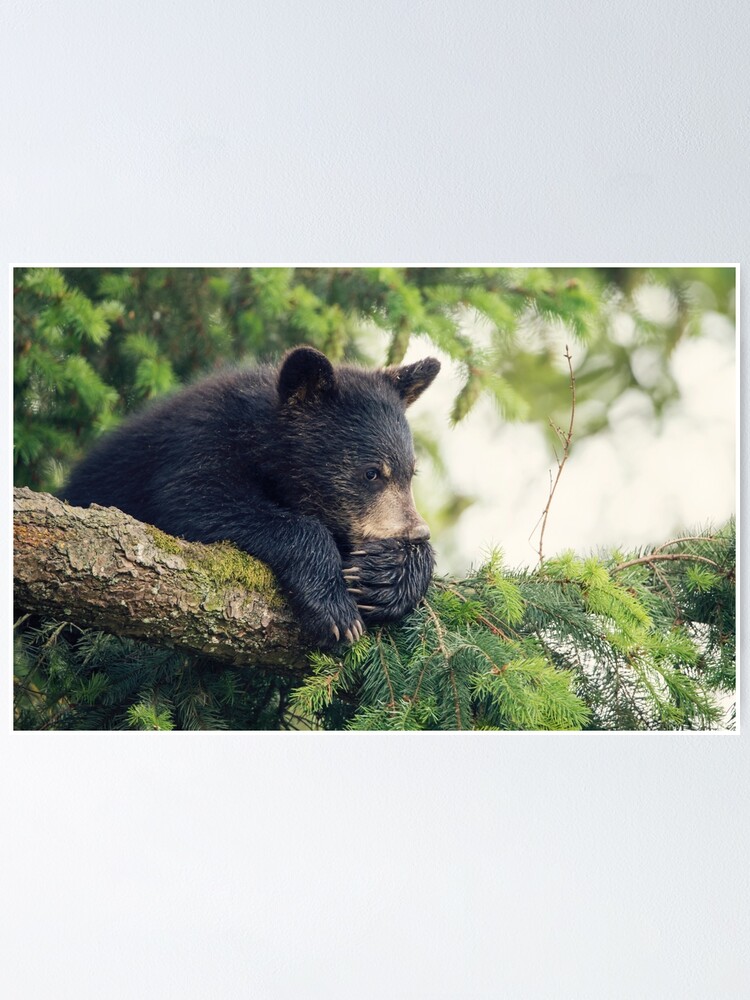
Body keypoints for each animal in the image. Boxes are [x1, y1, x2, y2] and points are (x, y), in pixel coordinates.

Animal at [63, 346, 441, 646]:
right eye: (372, 472)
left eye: (411, 472)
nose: (417, 533)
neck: (261, 440)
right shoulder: (199, 441)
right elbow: (194, 499)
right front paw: (336, 611)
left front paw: (388, 576)